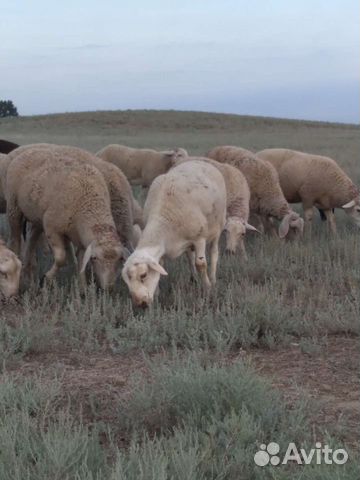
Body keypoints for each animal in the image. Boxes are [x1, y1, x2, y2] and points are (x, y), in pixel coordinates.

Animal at [5, 148, 125, 288]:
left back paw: (28, 272)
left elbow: (81, 261)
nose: (108, 288)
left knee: (31, 239)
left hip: (38, 218)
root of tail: (27, 151)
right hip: (14, 208)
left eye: (119, 260)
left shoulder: (81, 238)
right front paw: (46, 279)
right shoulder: (51, 227)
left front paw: (83, 288)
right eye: (95, 258)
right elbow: (61, 258)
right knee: (15, 239)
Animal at [122, 159, 226, 306]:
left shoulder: (199, 238)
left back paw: (213, 279)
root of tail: (199, 161)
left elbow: (201, 264)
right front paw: (157, 295)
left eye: (143, 275)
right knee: (190, 256)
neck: (163, 220)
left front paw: (207, 289)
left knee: (214, 253)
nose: (140, 304)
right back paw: (193, 278)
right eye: (126, 280)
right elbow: (160, 266)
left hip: (218, 227)